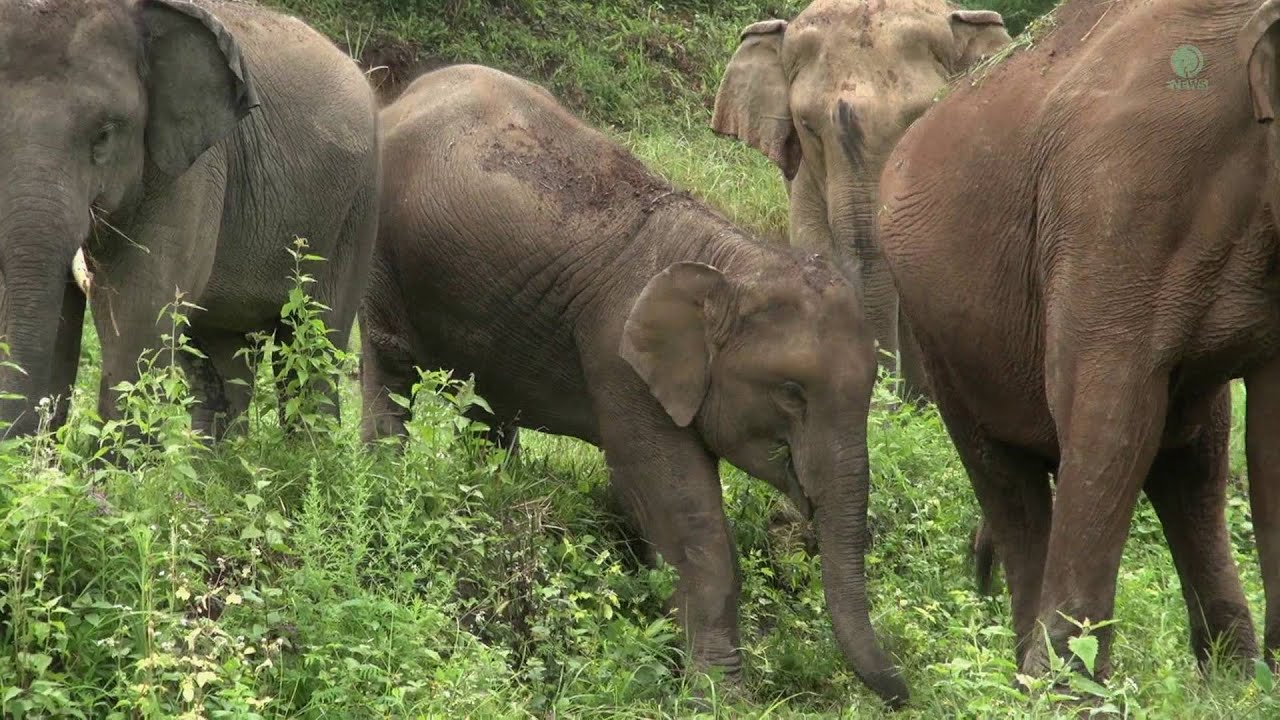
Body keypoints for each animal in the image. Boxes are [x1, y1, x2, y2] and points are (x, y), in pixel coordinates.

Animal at [0, 0, 380, 440]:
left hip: (355, 209)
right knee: (221, 352)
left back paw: (305, 452)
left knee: (313, 339)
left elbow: (141, 306)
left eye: (105, 134)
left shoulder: (192, 168)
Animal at [360, 64, 909, 707]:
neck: (730, 266)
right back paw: (383, 481)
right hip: (381, 252)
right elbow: (679, 510)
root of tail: (405, 95)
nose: (903, 695)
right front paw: (718, 699)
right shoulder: (620, 363)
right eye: (791, 393)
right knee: (390, 367)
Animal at [876, 0, 1280, 685]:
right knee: (1010, 477)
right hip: (938, 333)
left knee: (1191, 458)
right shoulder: (1117, 205)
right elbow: (1106, 414)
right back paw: (1033, 682)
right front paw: (1069, 691)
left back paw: (1233, 677)